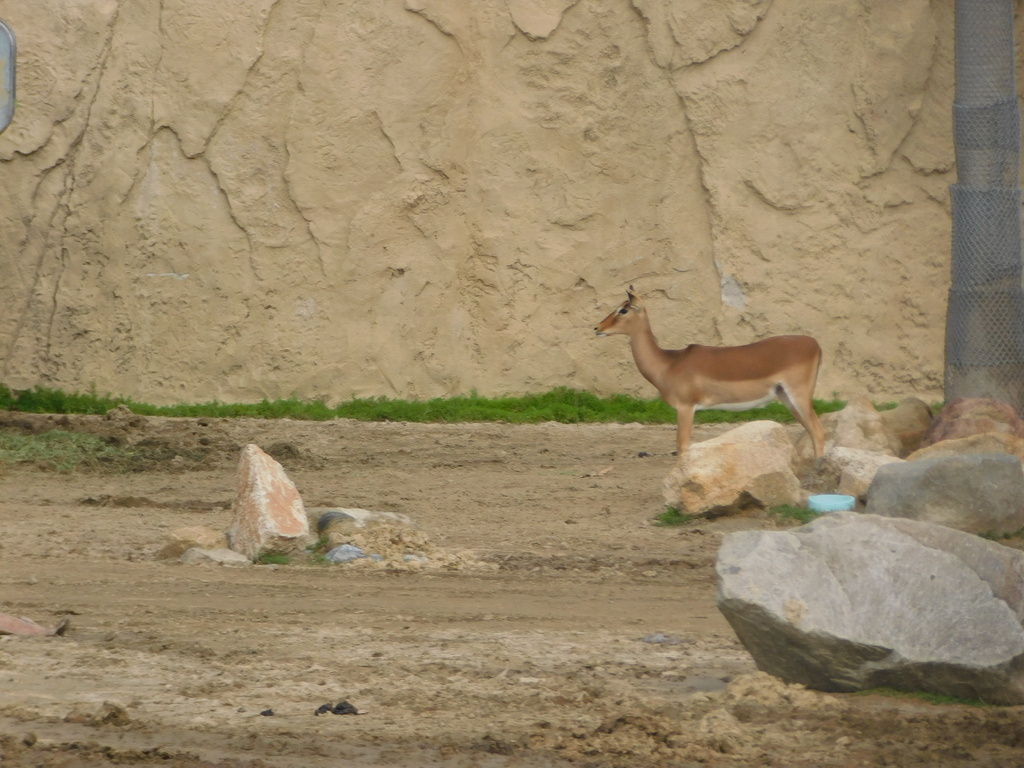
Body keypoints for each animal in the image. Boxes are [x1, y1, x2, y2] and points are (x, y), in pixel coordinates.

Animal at [594, 286, 826, 459]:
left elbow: (683, 445)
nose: (597, 328)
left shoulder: (686, 408)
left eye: (623, 309)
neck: (668, 363)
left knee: (818, 431)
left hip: (799, 396)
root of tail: (814, 344)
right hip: (786, 398)